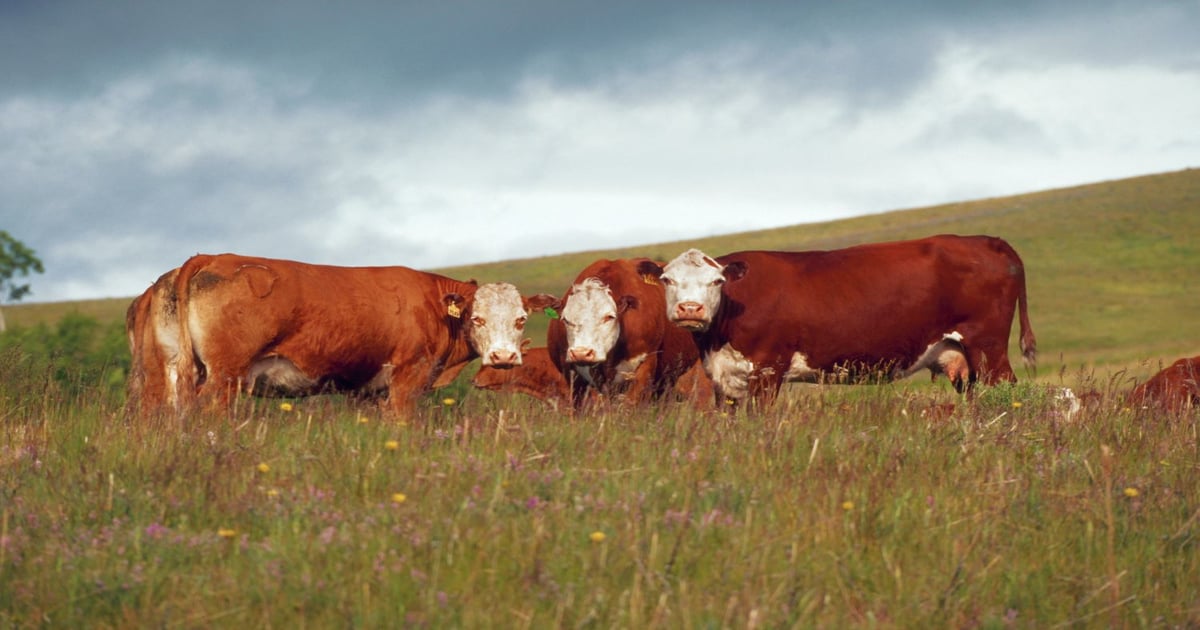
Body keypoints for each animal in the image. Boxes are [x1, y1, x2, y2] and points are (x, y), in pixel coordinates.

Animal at [163, 253, 554, 417]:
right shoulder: (408, 377)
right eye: (477, 318)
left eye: (521, 319)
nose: (503, 357)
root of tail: (215, 257)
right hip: (225, 373)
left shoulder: (367, 390)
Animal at [638, 235, 1037, 408]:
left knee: (1005, 391)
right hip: (962, 356)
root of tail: (986, 240)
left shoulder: (768, 368)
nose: (690, 309)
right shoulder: (726, 376)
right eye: (667, 280)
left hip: (988, 347)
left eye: (716, 281)